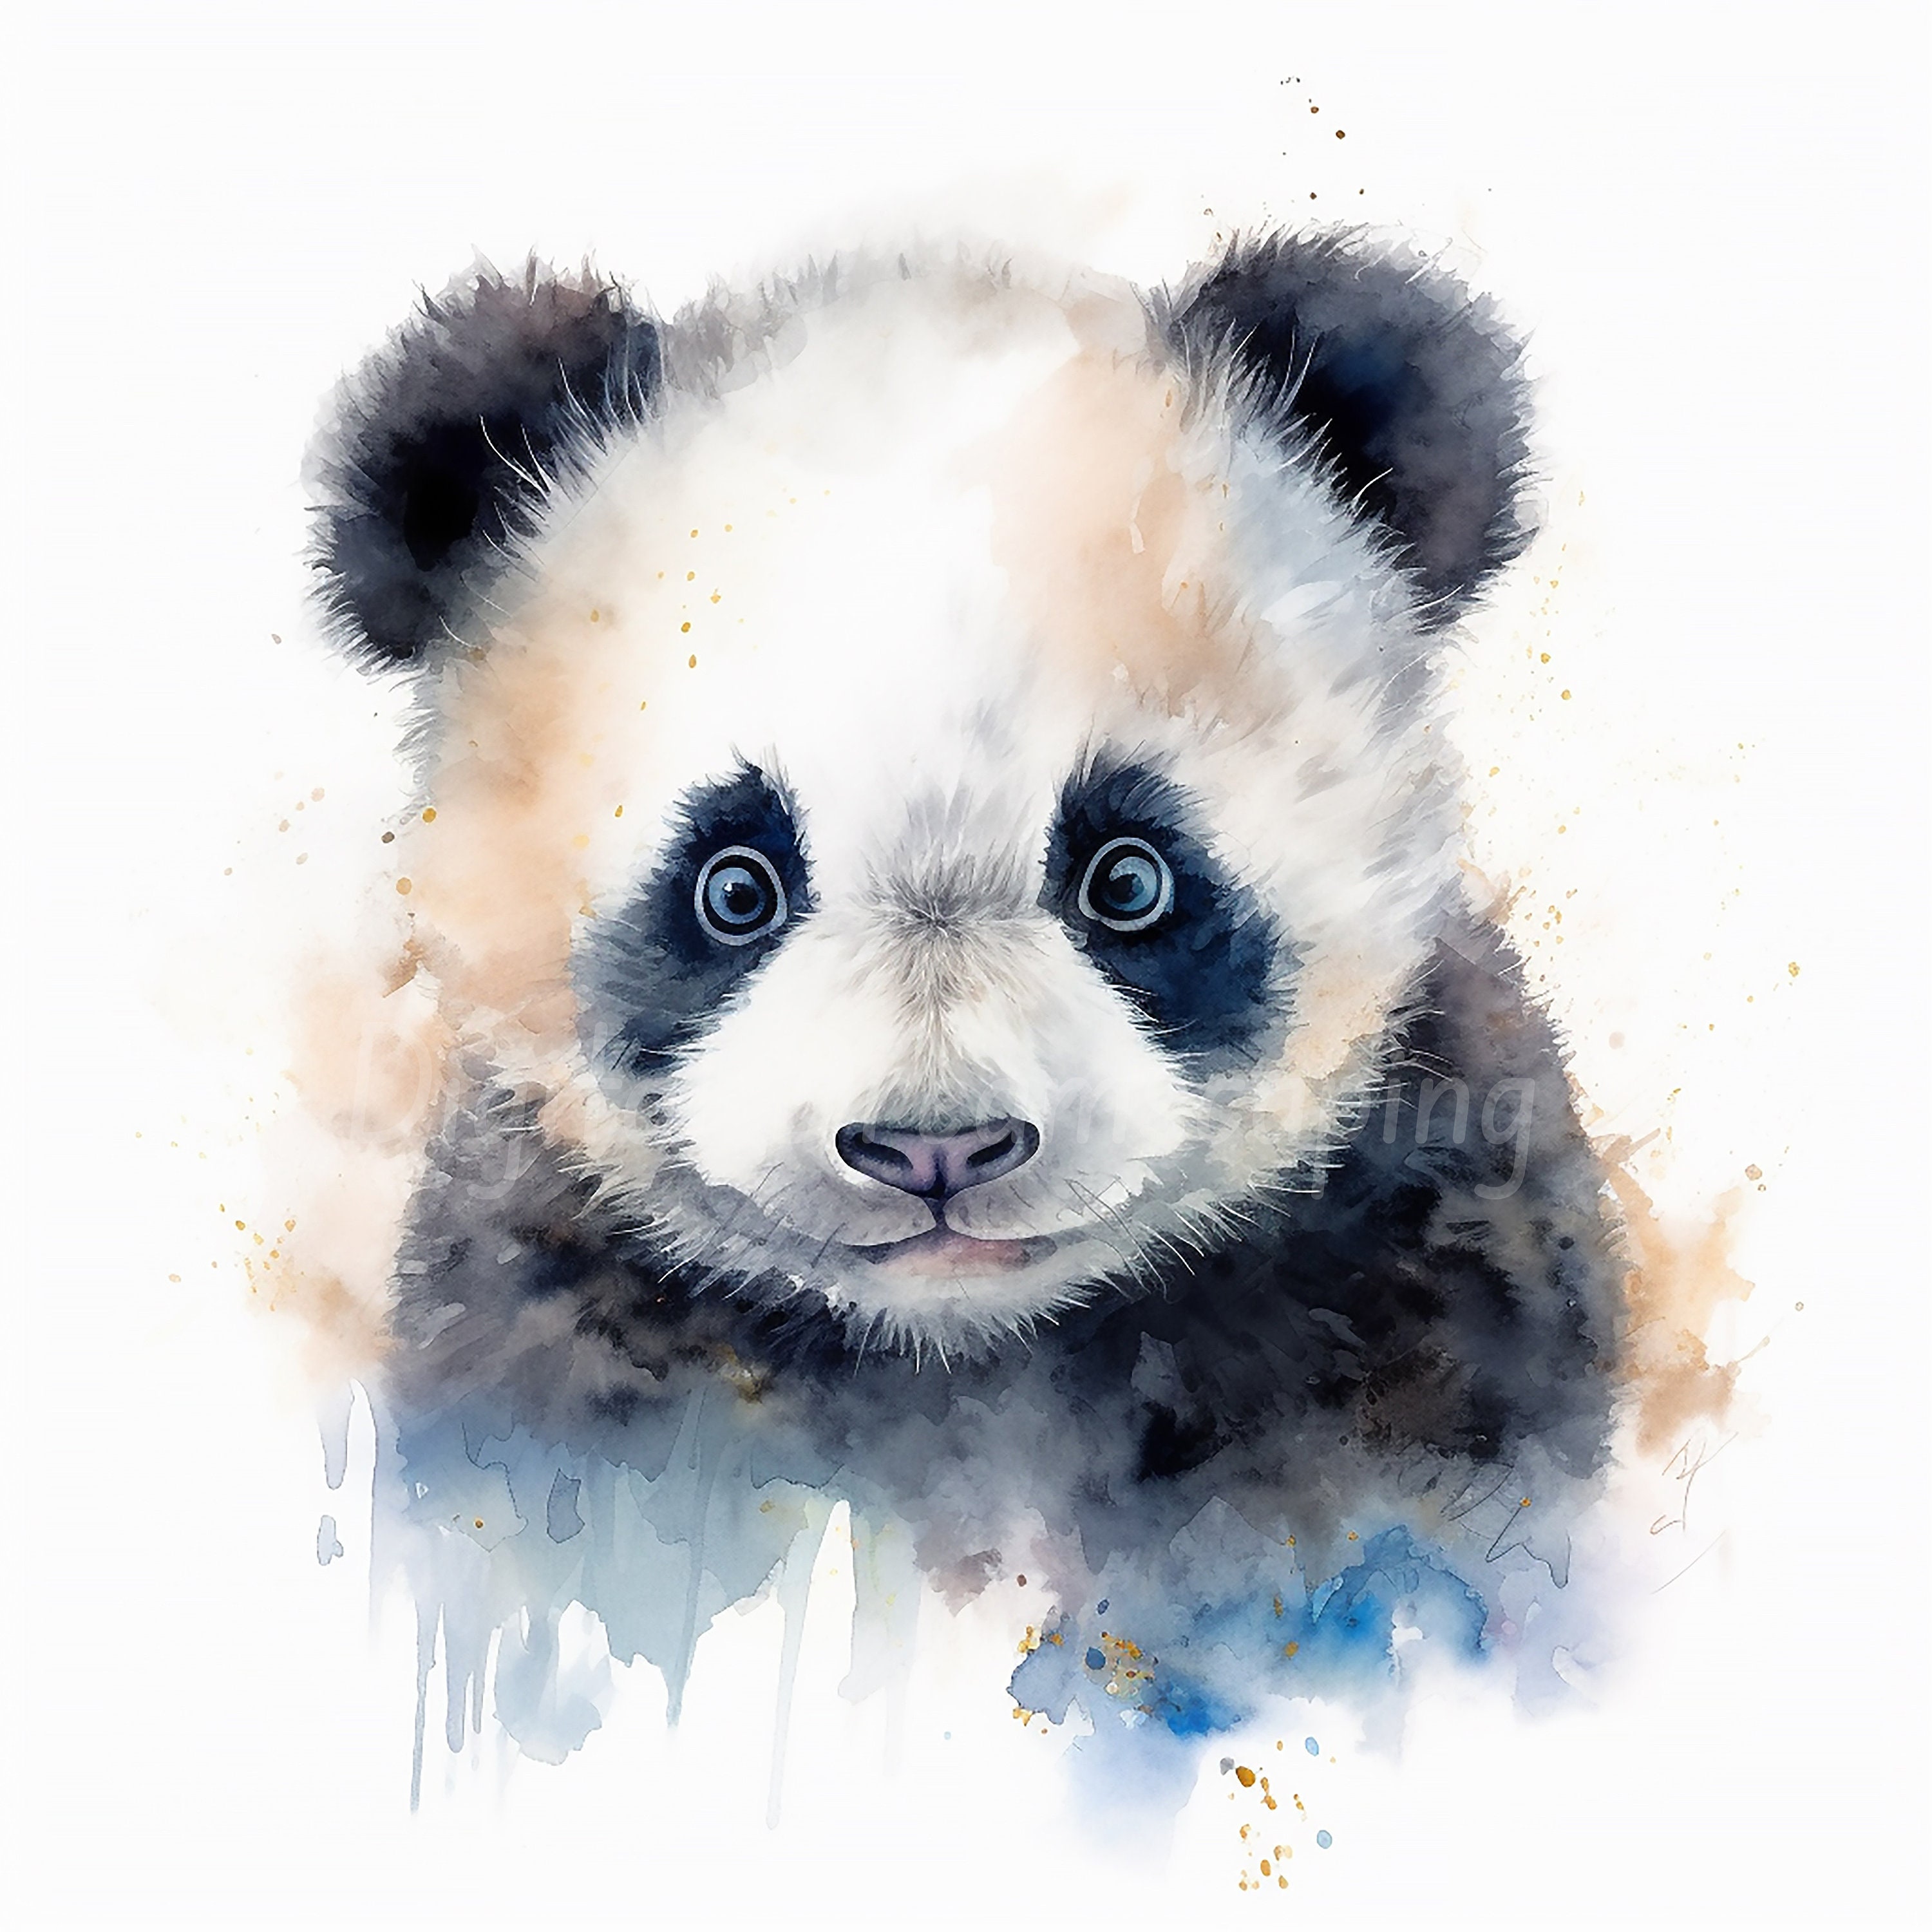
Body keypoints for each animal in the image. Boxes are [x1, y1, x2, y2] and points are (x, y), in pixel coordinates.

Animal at [305, 233, 1625, 1777]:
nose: (936, 1150)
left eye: (1131, 877)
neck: (967, 1351)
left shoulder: (1412, 1251)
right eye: (734, 886)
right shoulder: (556, 1312)